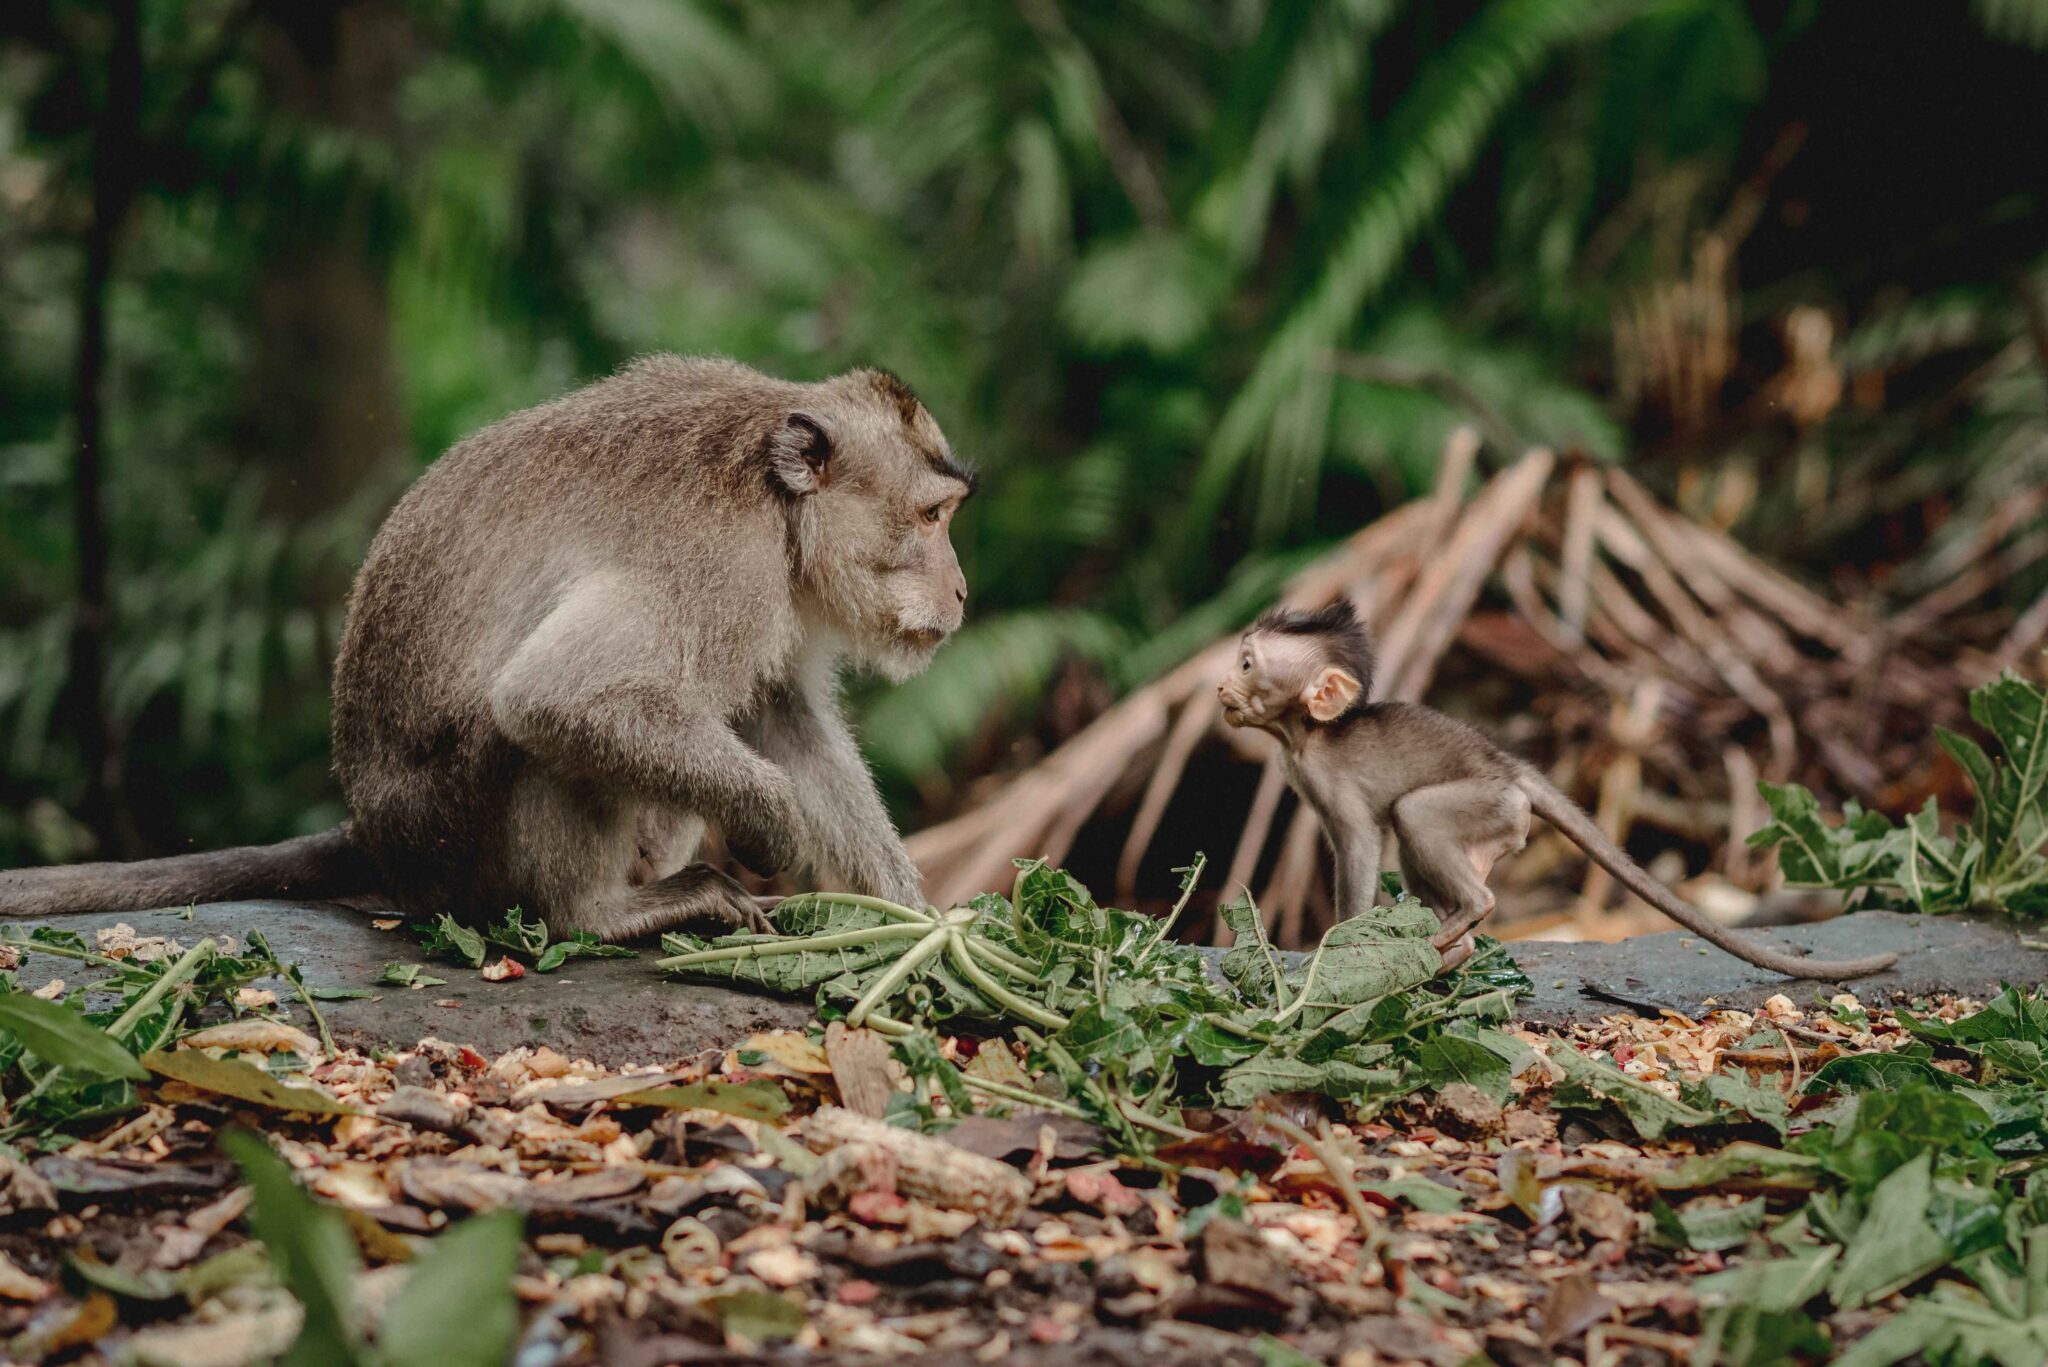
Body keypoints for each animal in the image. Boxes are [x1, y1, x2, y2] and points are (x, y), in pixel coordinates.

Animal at [1, 357, 974, 942]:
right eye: (931, 517)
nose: (963, 589)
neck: (779, 507)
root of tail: (378, 836)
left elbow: (787, 725)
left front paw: (922, 923)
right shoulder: (719, 567)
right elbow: (556, 694)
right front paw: (770, 823)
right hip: (459, 844)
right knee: (531, 734)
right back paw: (599, 913)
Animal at [1216, 600, 1898, 980]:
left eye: (1248, 663)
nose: (1221, 683)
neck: (1303, 735)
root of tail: (1511, 767)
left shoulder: (1326, 775)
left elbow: (1359, 844)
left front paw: (1339, 948)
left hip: (1491, 803)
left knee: (1417, 815)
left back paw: (1462, 920)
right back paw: (1455, 945)